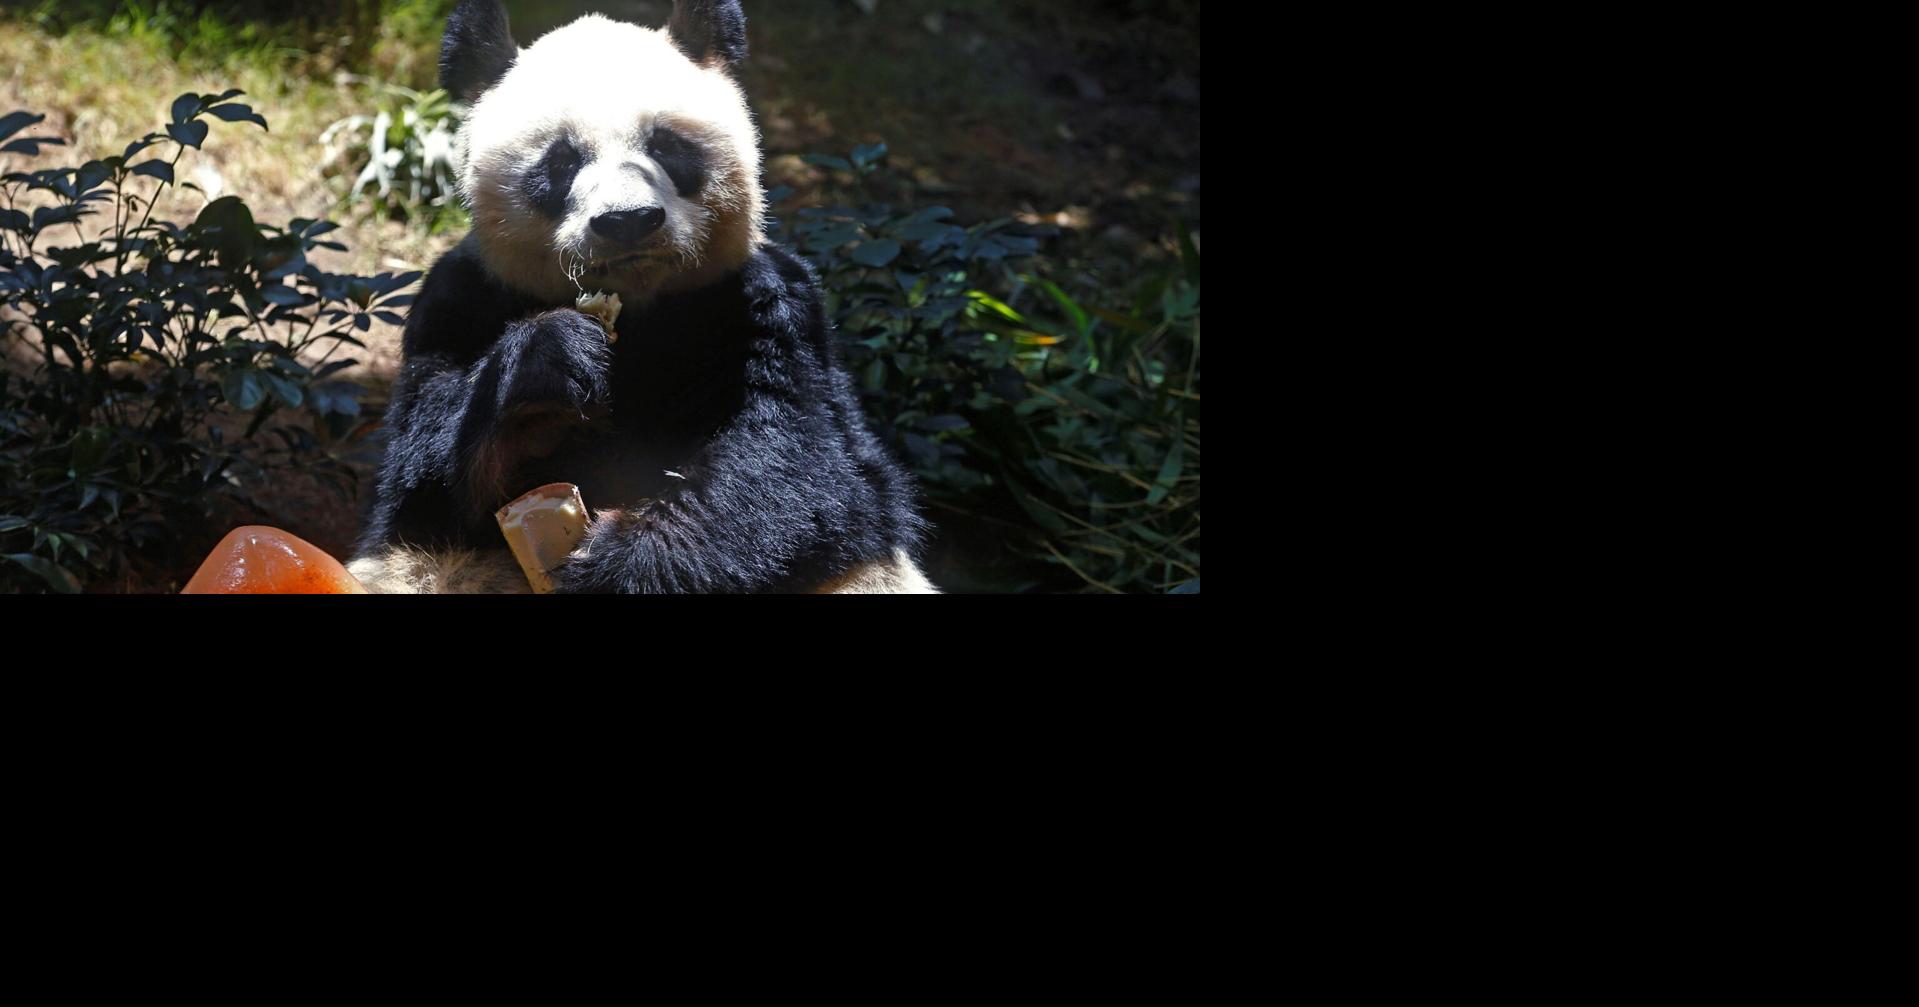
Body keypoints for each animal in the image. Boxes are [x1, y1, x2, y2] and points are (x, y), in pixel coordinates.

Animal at [345, 0, 935, 593]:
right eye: (561, 162)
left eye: (667, 146)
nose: (628, 220)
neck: (640, 306)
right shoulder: (458, 301)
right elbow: (424, 478)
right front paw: (550, 374)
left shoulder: (768, 306)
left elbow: (801, 467)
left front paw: (616, 564)